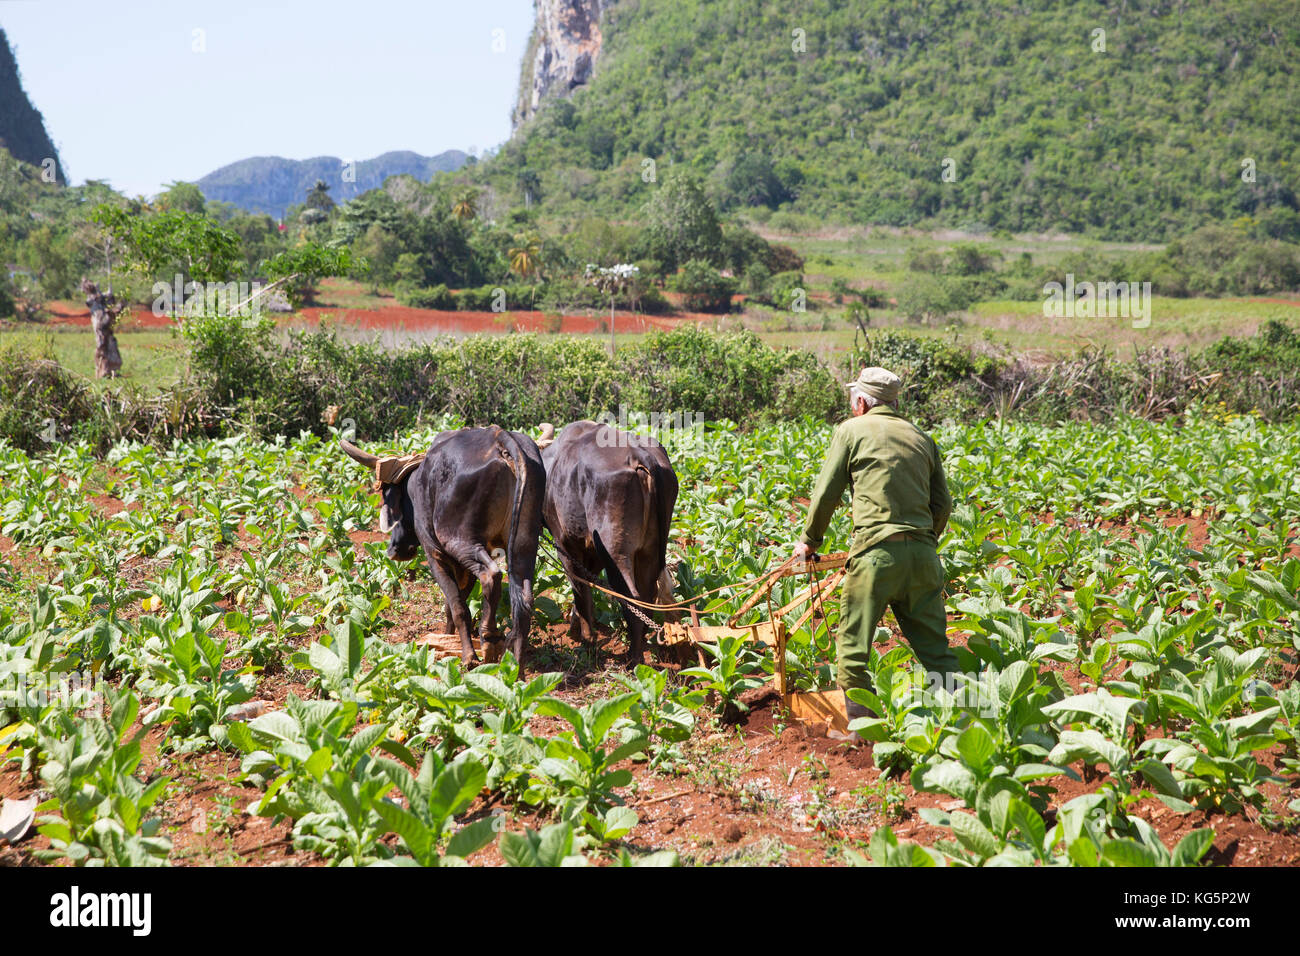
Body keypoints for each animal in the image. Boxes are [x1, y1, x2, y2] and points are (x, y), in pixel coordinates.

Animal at [340, 426, 546, 666]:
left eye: (387, 500)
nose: (393, 551)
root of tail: (499, 438)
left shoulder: (435, 554)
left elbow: (457, 607)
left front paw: (467, 655)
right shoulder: (464, 565)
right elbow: (453, 605)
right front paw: (448, 639)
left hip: (460, 542)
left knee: (491, 576)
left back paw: (489, 638)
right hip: (523, 545)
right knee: (524, 600)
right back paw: (516, 665)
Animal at [539, 420, 679, 662]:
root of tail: (641, 456)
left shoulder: (565, 545)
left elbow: (579, 588)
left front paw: (587, 641)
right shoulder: (592, 552)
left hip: (616, 554)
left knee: (631, 597)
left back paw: (633, 659)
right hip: (649, 552)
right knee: (647, 596)